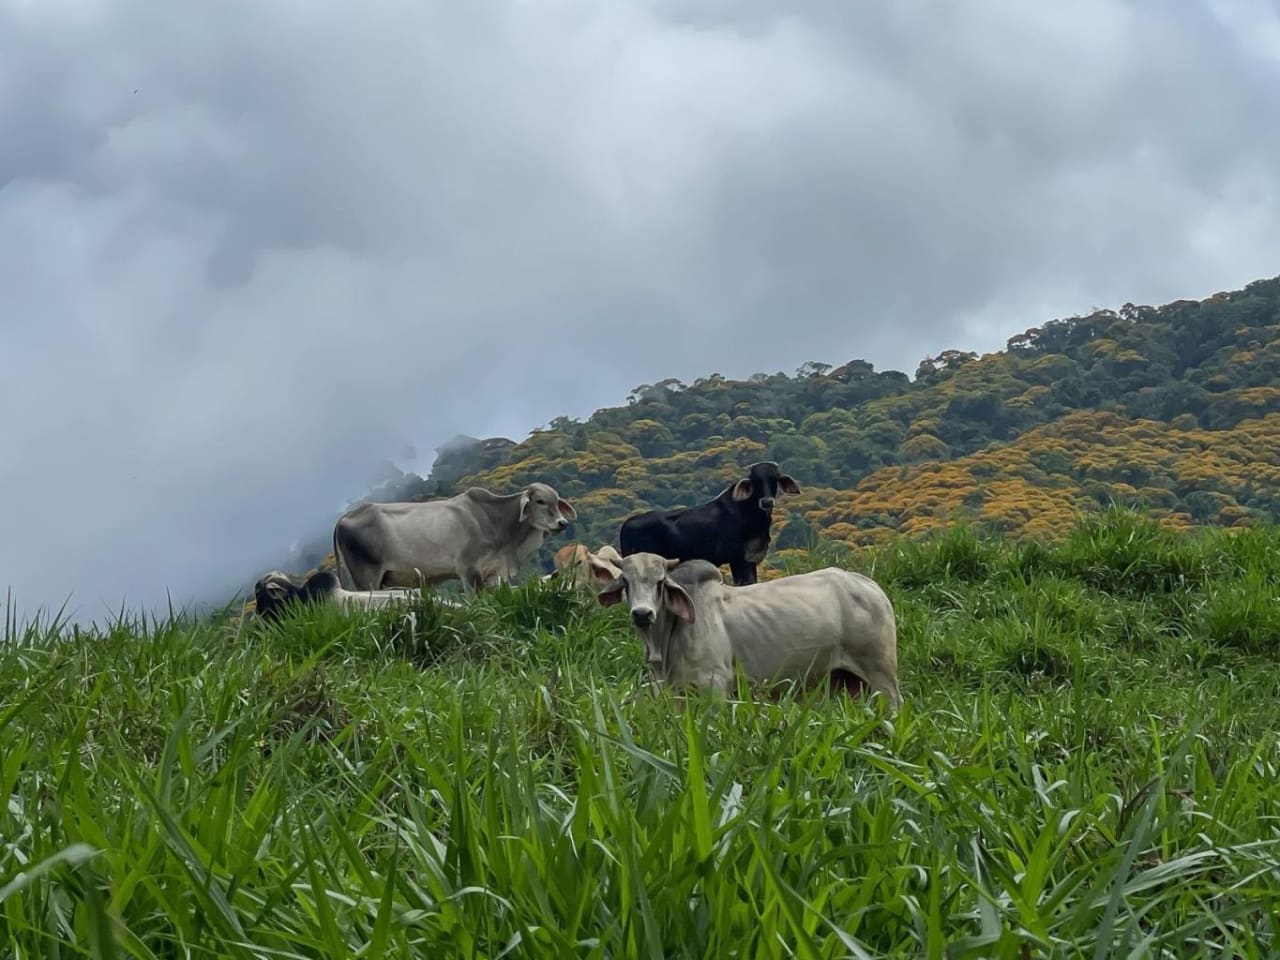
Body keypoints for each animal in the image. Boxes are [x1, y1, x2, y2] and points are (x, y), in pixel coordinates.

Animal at [588, 552, 901, 711]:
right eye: (626, 582)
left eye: (660, 582)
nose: (642, 614)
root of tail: (869, 586)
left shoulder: (715, 685)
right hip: (851, 682)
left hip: (882, 674)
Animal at [616, 460, 798, 586]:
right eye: (755, 481)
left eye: (775, 479)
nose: (767, 502)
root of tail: (627, 524)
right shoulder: (737, 558)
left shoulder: (750, 559)